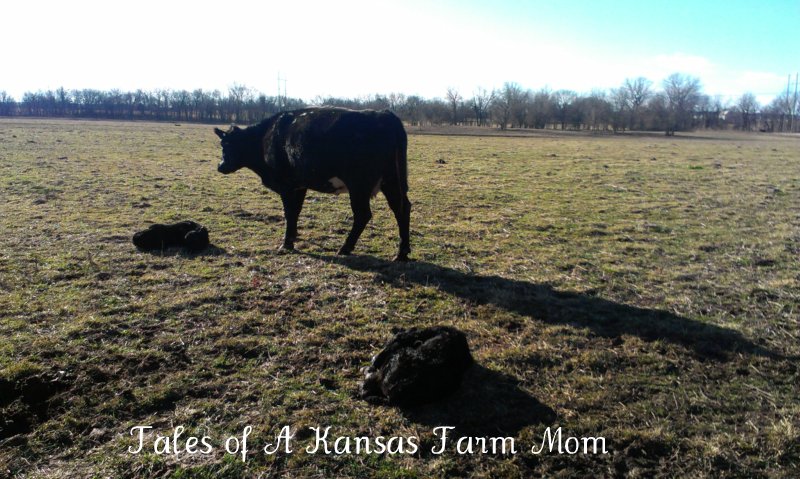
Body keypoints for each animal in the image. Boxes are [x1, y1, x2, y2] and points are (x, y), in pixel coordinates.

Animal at [214, 107, 411, 261]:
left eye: (227, 144)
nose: (220, 166)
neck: (265, 138)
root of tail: (384, 114)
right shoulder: (300, 185)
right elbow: (296, 211)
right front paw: (293, 236)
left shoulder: (286, 185)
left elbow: (289, 212)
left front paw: (287, 243)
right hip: (392, 181)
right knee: (402, 208)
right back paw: (402, 252)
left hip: (359, 185)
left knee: (363, 215)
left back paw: (345, 248)